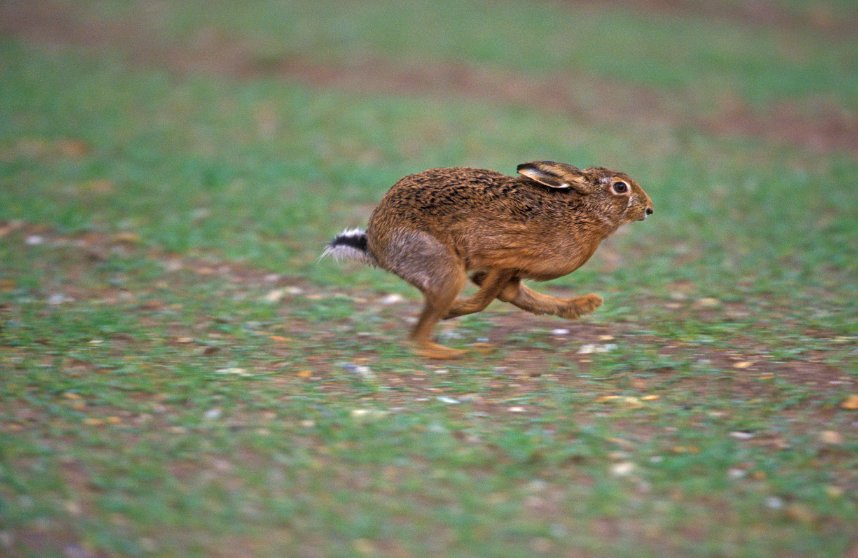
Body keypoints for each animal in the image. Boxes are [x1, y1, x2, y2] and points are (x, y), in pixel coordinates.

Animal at [322, 161, 653, 359]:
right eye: (620, 187)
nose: (649, 209)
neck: (582, 213)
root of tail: (375, 244)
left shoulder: (509, 271)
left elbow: (516, 295)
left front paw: (585, 305)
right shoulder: (506, 260)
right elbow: (485, 299)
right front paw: (453, 313)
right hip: (443, 269)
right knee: (418, 337)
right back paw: (454, 351)